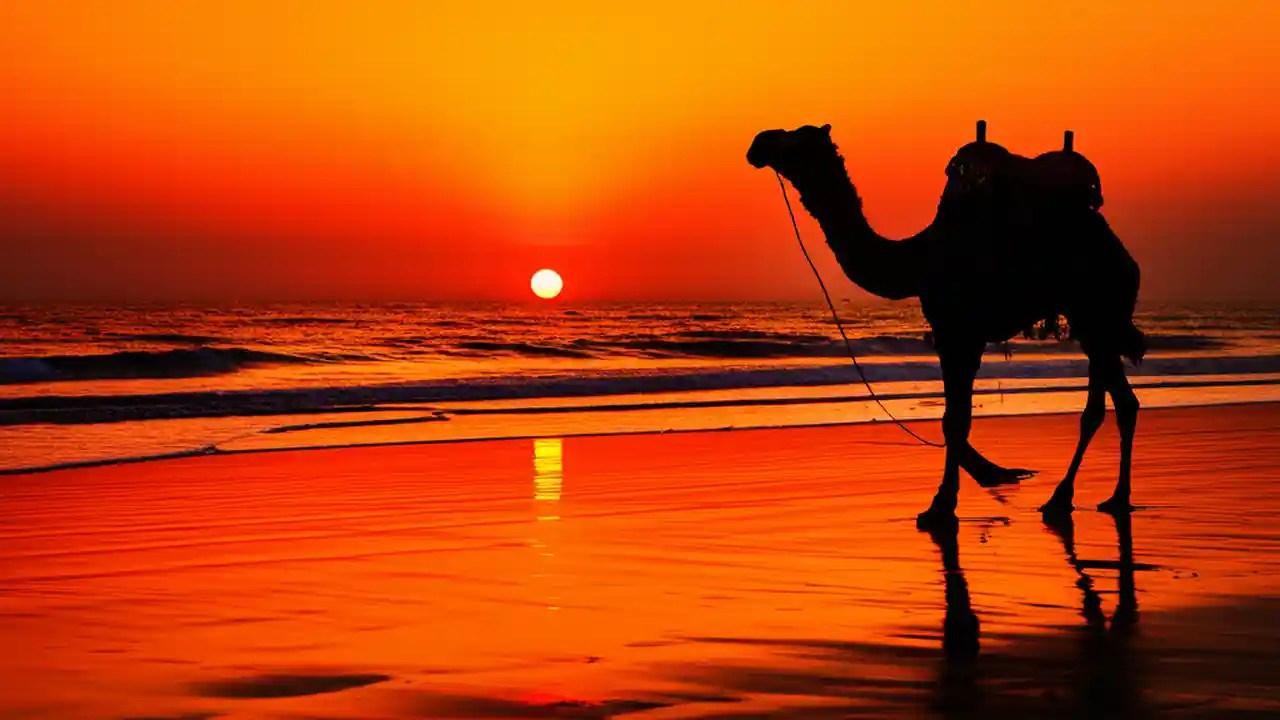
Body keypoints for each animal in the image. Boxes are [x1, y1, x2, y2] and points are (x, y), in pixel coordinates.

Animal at [746, 123, 1144, 525]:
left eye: (797, 141)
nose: (758, 143)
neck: (917, 258)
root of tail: (1127, 260)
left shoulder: (959, 331)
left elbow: (955, 421)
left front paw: (941, 505)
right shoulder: (954, 334)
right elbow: (954, 420)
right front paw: (977, 482)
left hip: (1096, 313)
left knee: (1111, 404)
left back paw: (1084, 498)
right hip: (1092, 321)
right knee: (1111, 404)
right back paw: (1093, 498)